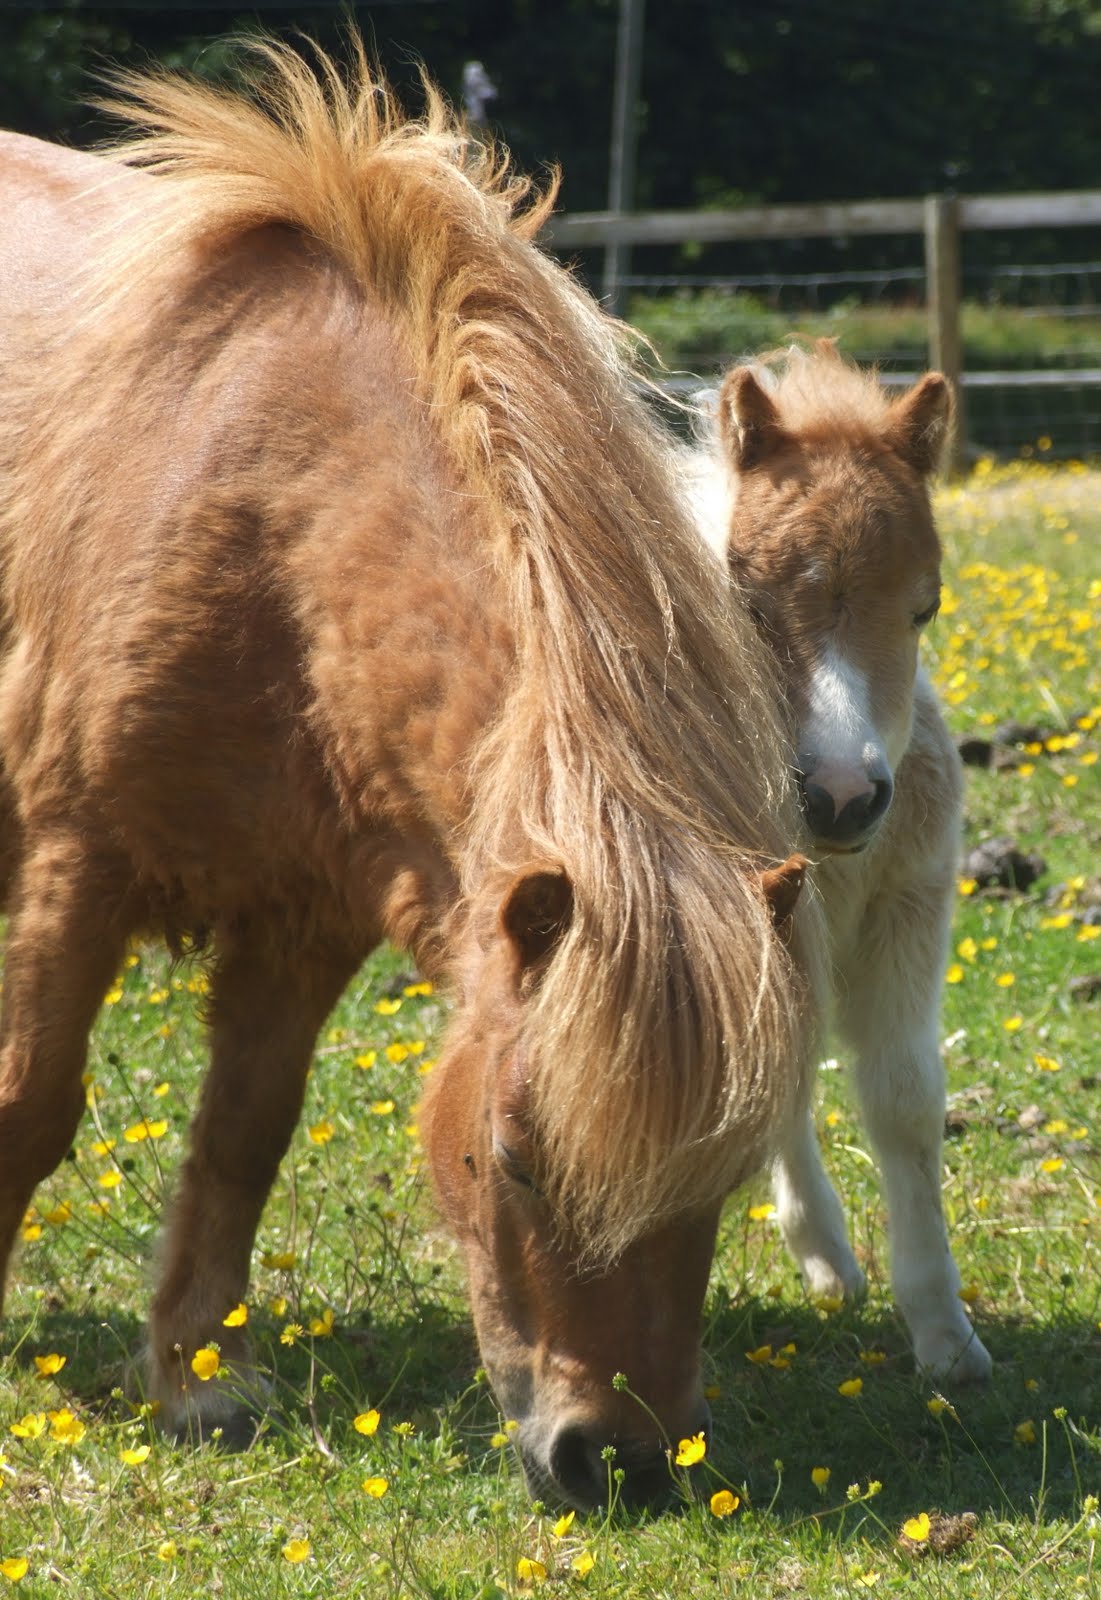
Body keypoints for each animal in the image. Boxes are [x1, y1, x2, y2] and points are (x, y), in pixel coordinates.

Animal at [0, 42, 822, 1511]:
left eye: (724, 1183)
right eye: (516, 1161)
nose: (617, 1462)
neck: (258, 505)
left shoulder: (305, 923)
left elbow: (244, 1136)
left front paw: (201, 1384)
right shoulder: (72, 868)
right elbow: (31, 1107)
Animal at [687, 341, 993, 1385]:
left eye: (926, 607)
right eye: (743, 601)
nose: (841, 796)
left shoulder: (910, 905)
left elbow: (904, 1102)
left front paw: (944, 1333)